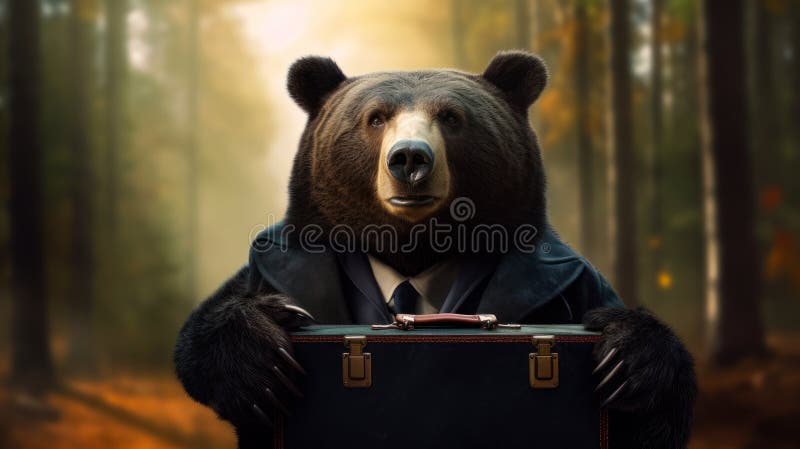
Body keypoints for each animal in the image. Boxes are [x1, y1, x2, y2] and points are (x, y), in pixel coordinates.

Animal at [174, 51, 697, 449]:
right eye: (375, 118)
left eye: (450, 116)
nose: (409, 158)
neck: (415, 247)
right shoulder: (268, 265)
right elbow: (207, 332)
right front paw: (263, 357)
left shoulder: (577, 280)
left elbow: (657, 407)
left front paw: (626, 360)